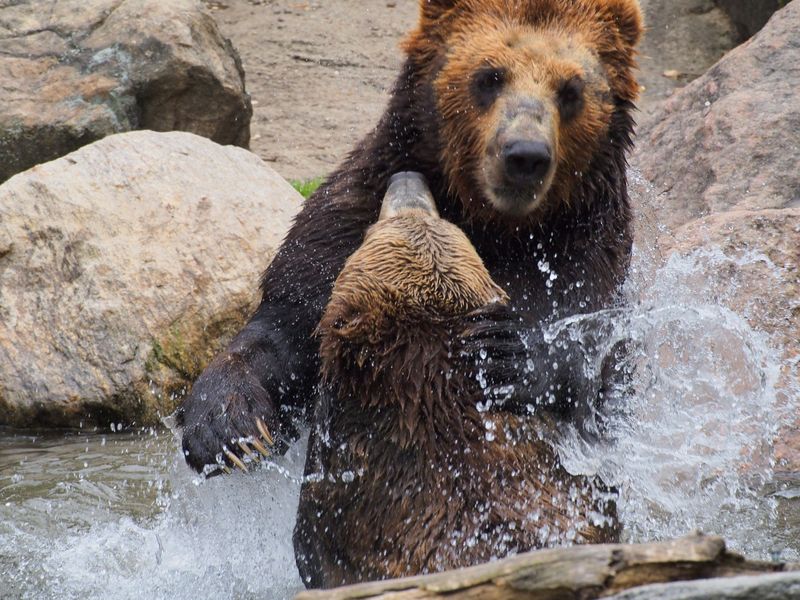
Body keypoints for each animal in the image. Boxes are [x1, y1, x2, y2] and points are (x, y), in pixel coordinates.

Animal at [178, 0, 642, 483]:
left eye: (571, 90)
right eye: (490, 76)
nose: (524, 155)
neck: (490, 223)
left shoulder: (581, 252)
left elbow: (585, 355)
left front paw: (504, 353)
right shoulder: (348, 223)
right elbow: (287, 325)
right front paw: (226, 426)